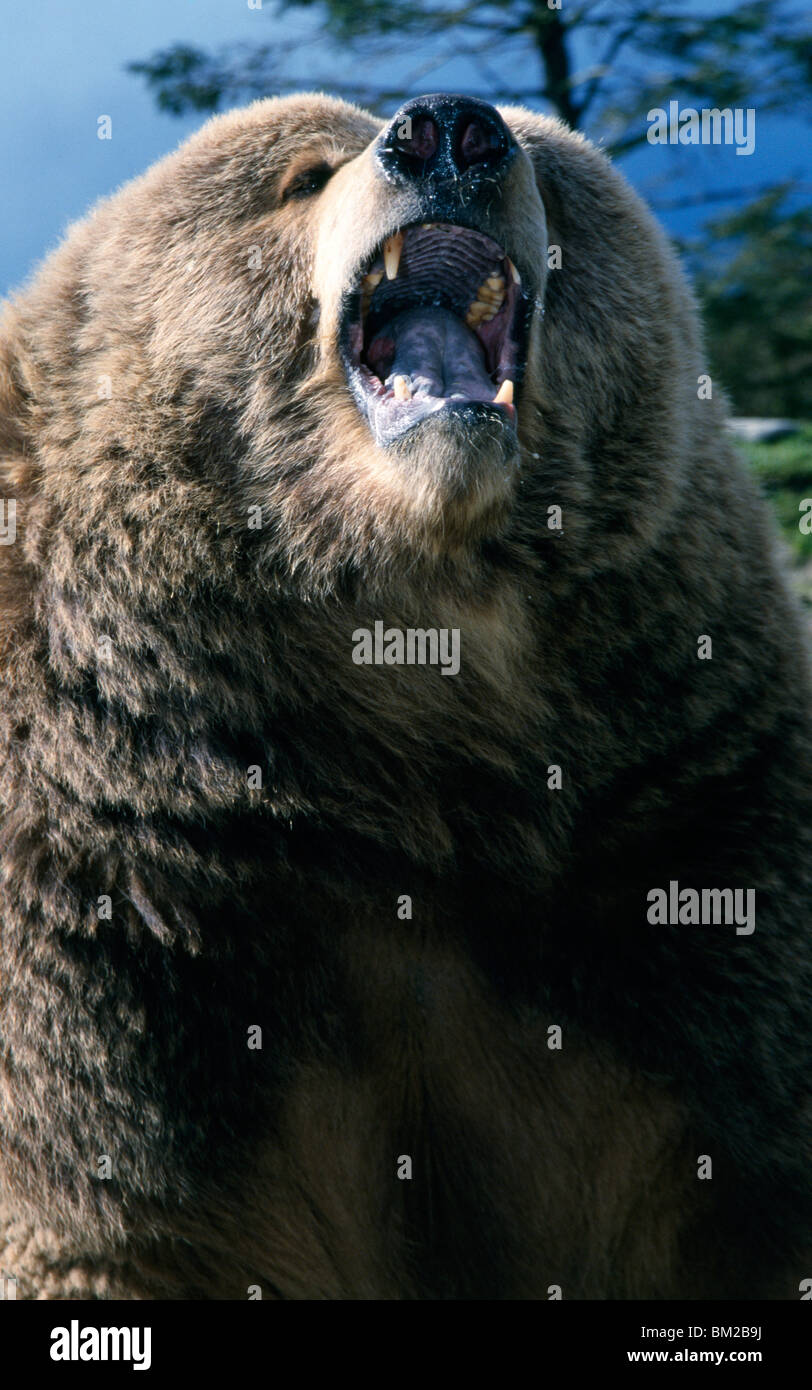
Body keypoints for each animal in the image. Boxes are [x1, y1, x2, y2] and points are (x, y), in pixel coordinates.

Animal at [0, 90, 810, 1301]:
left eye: (551, 176)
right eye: (301, 172)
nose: (448, 133)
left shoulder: (685, 838)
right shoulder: (123, 931)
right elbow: (109, 1215)